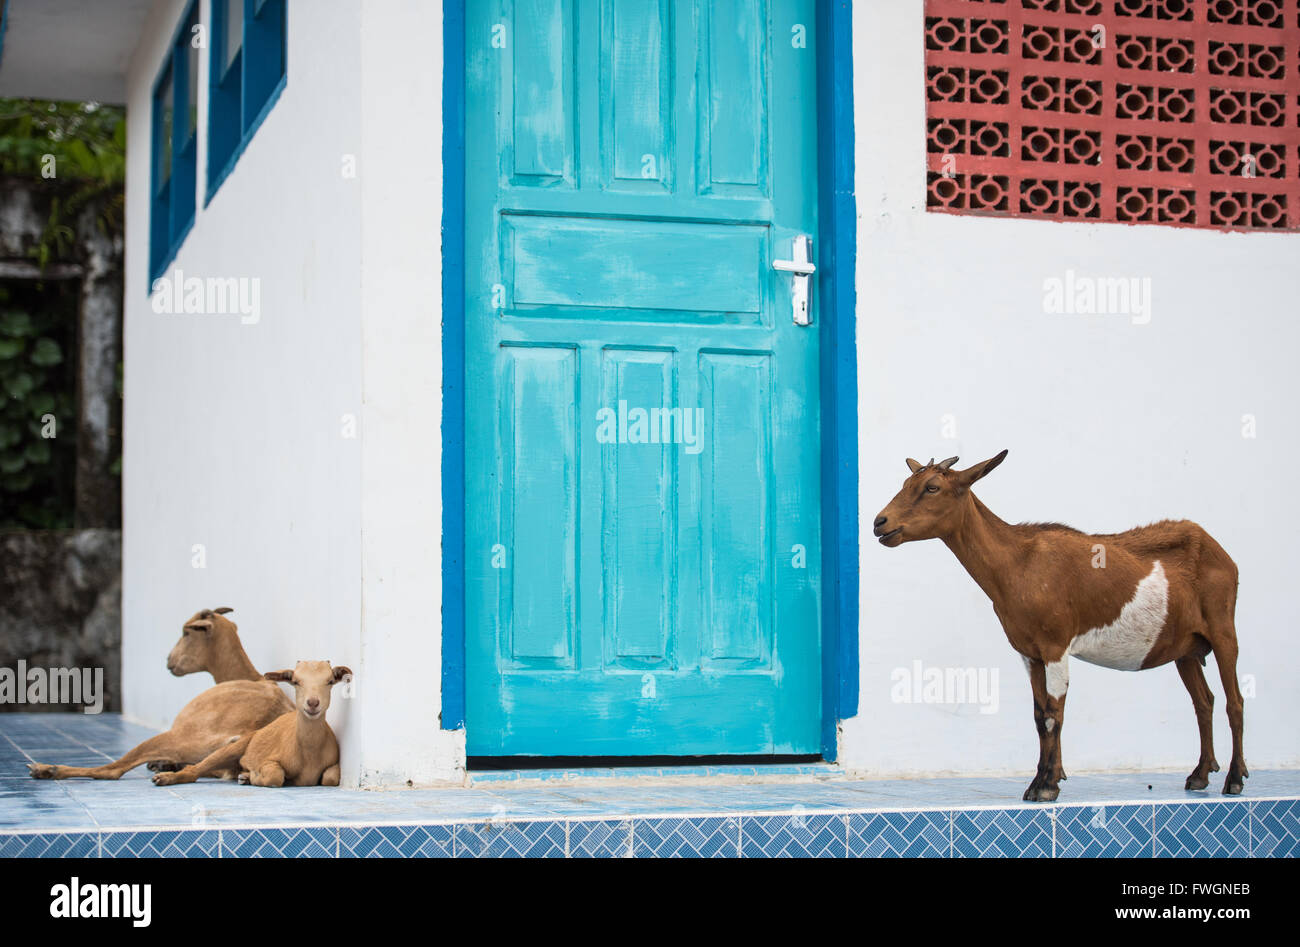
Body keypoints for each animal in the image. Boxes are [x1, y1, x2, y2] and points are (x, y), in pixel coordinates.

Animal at [28, 608, 293, 780]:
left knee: (111, 771)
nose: (169, 661)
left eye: (187, 632)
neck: (249, 676)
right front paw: (163, 765)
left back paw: (47, 769)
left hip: (179, 736)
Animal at [152, 661, 352, 788]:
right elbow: (275, 776)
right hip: (233, 747)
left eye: (330, 681)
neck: (308, 754)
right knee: (195, 769)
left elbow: (331, 777)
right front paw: (254, 777)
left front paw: (249, 777)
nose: (312, 703)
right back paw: (164, 777)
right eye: (295, 681)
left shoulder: (332, 763)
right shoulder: (268, 760)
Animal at [874, 450, 1245, 802]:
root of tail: (1221, 553)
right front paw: (1041, 780)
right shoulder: (1029, 652)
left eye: (932, 487)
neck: (1018, 563)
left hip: (1223, 628)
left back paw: (1235, 779)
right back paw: (1199, 775)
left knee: (1234, 701)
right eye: (906, 483)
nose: (880, 522)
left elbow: (1054, 714)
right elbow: (1040, 716)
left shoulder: (1055, 645)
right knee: (1204, 702)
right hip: (1186, 647)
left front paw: (1047, 786)